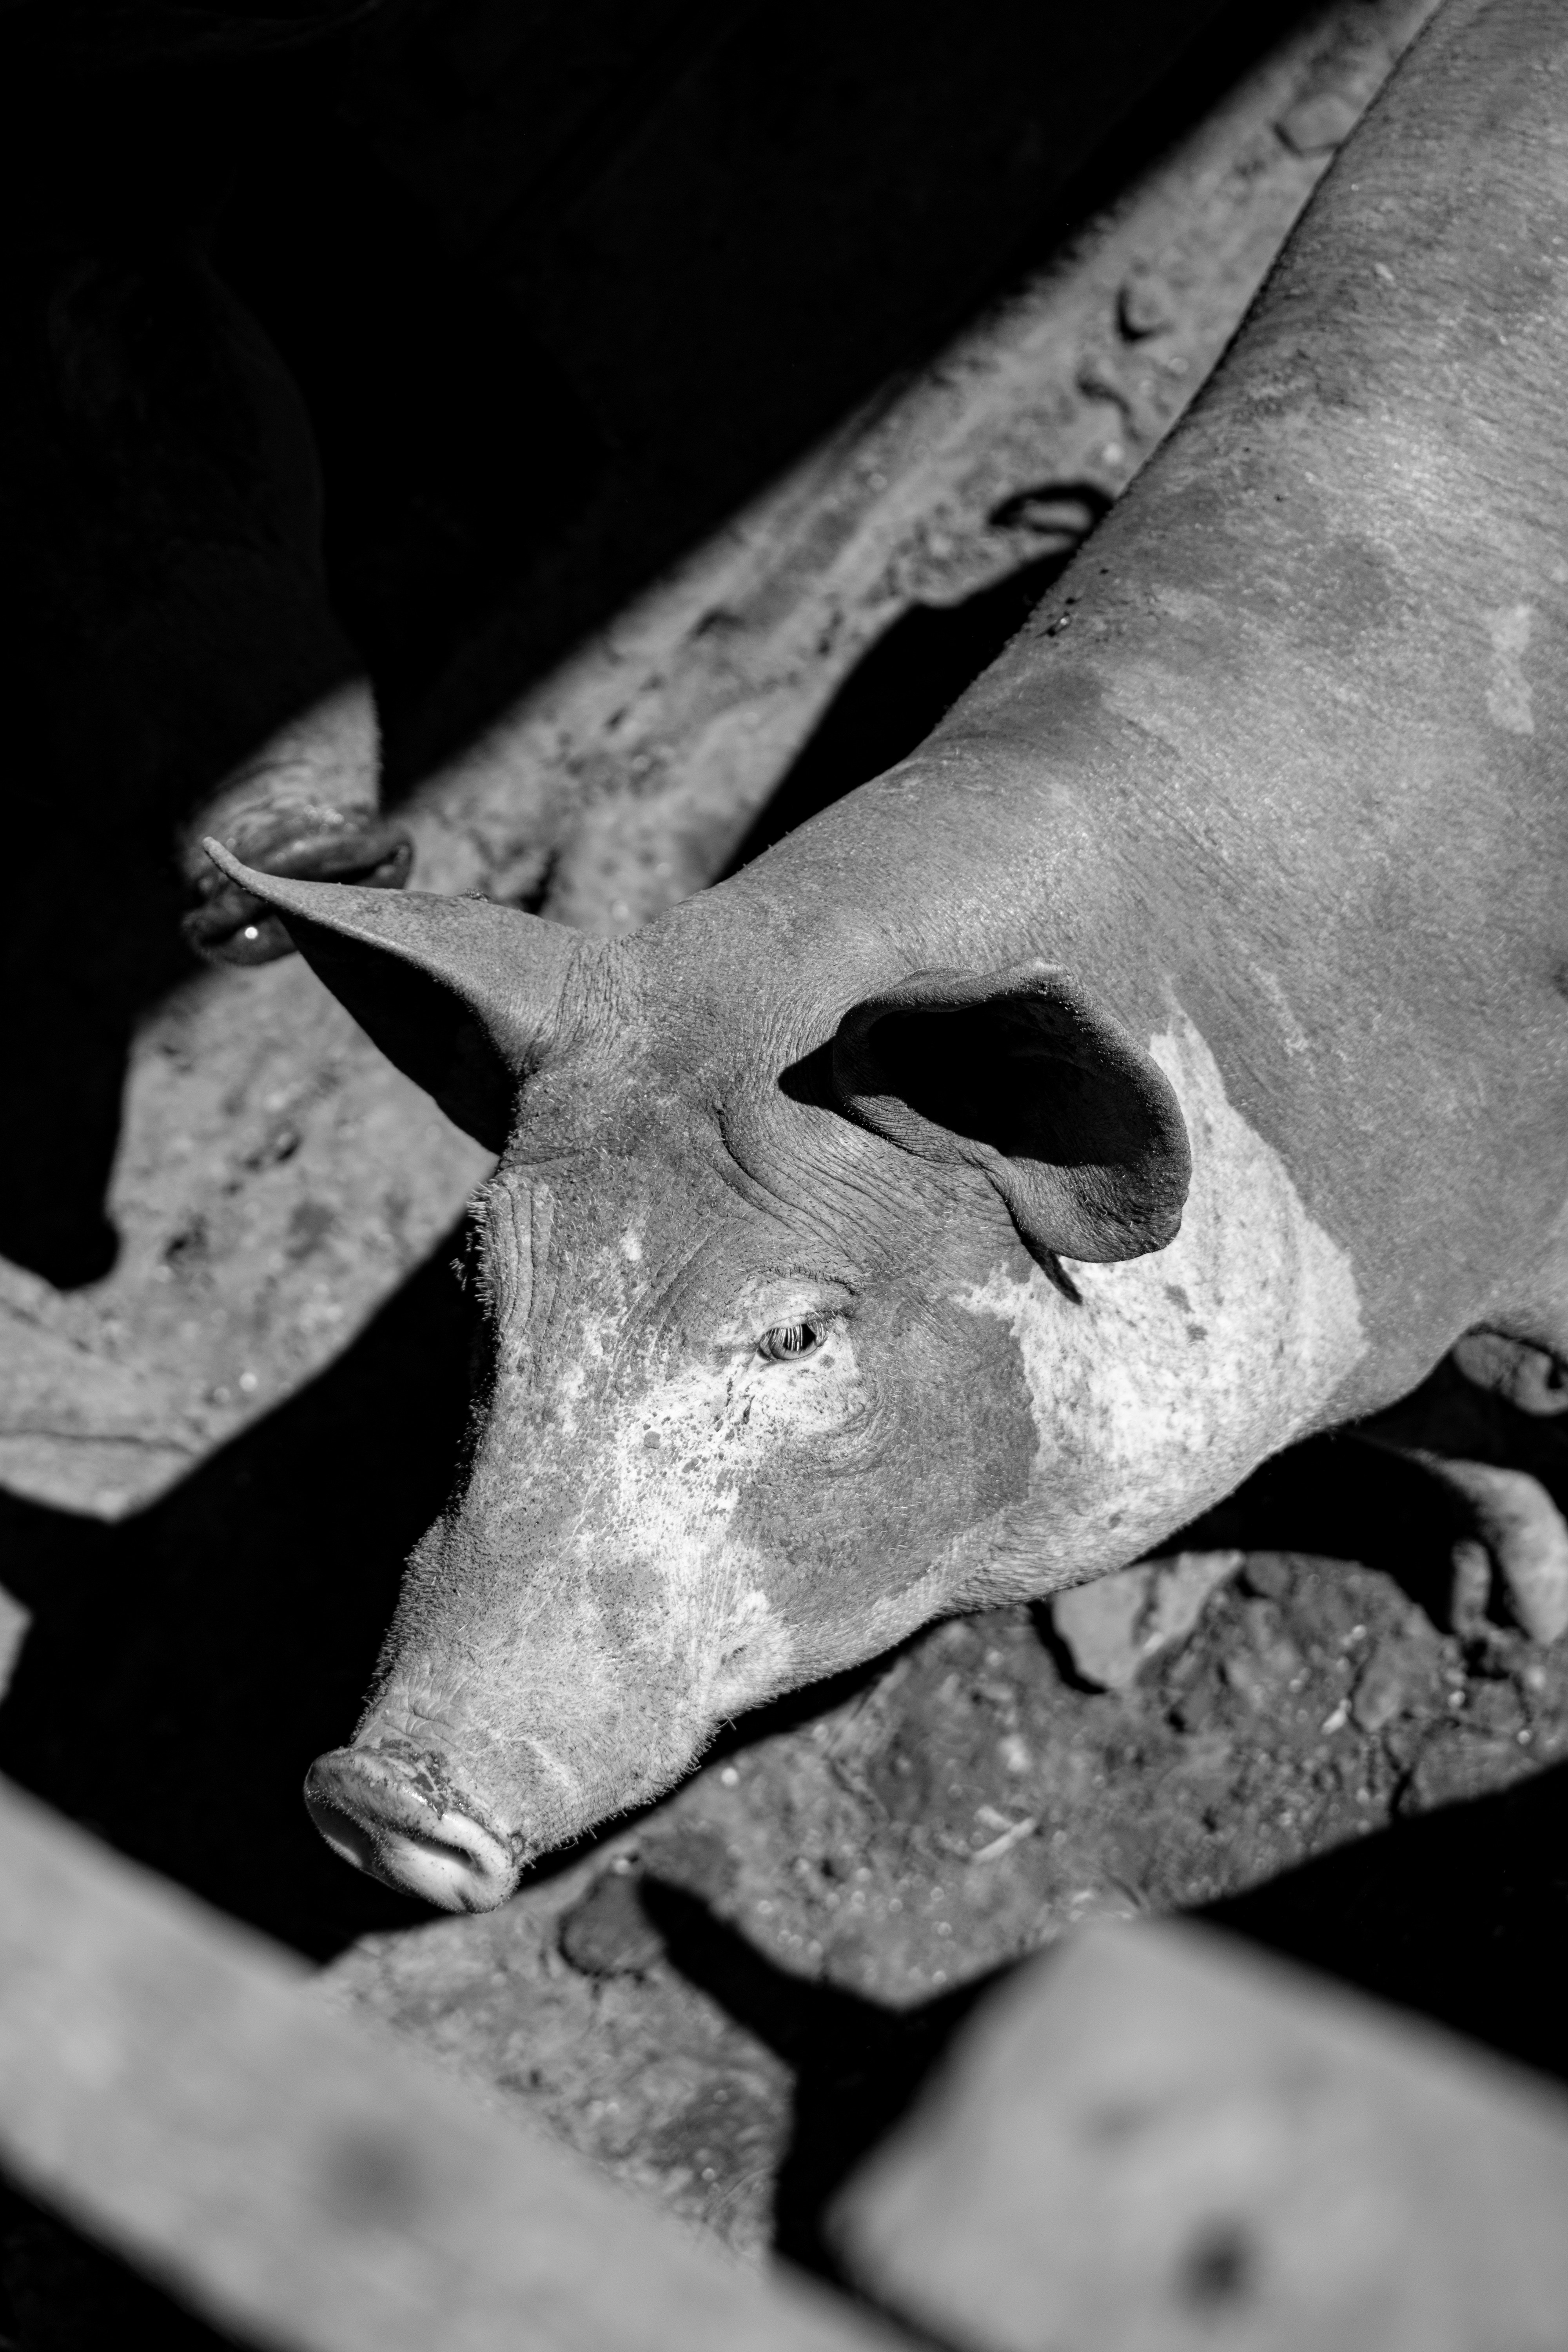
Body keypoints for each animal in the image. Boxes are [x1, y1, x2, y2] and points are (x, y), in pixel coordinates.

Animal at [213, 0, 1568, 1908]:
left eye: (793, 1335)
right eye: (485, 1304)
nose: (374, 1800)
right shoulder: (1363, 1331)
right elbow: (1457, 1448)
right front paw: (1512, 1620)